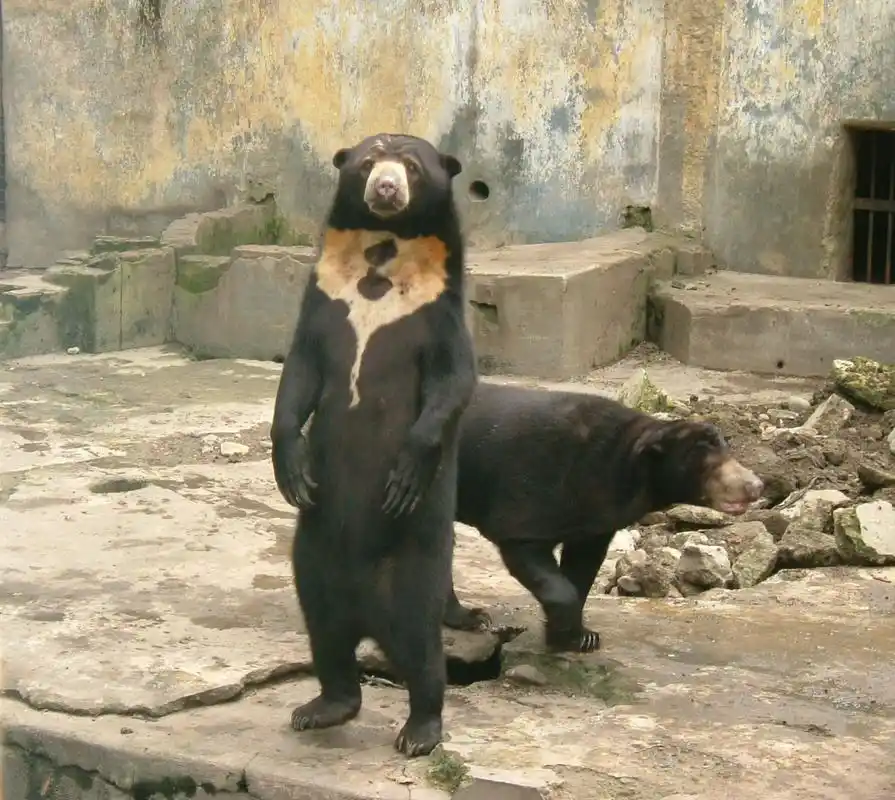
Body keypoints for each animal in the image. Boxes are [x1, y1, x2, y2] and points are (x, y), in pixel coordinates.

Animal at [270, 133, 477, 757]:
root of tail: (365, 613)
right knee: (325, 637)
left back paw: (419, 731)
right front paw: (293, 471)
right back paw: (322, 707)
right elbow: (299, 372)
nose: (385, 189)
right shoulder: (323, 299)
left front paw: (406, 472)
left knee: (422, 650)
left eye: (411, 166)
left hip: (411, 567)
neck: (382, 256)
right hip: (311, 563)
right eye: (366, 162)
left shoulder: (436, 312)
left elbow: (453, 381)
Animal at [442, 382, 763, 653]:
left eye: (729, 453)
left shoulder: (594, 520)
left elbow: (582, 567)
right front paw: (567, 631)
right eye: (711, 465)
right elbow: (523, 542)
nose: (756, 485)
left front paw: (579, 637)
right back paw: (474, 617)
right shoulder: (533, 488)